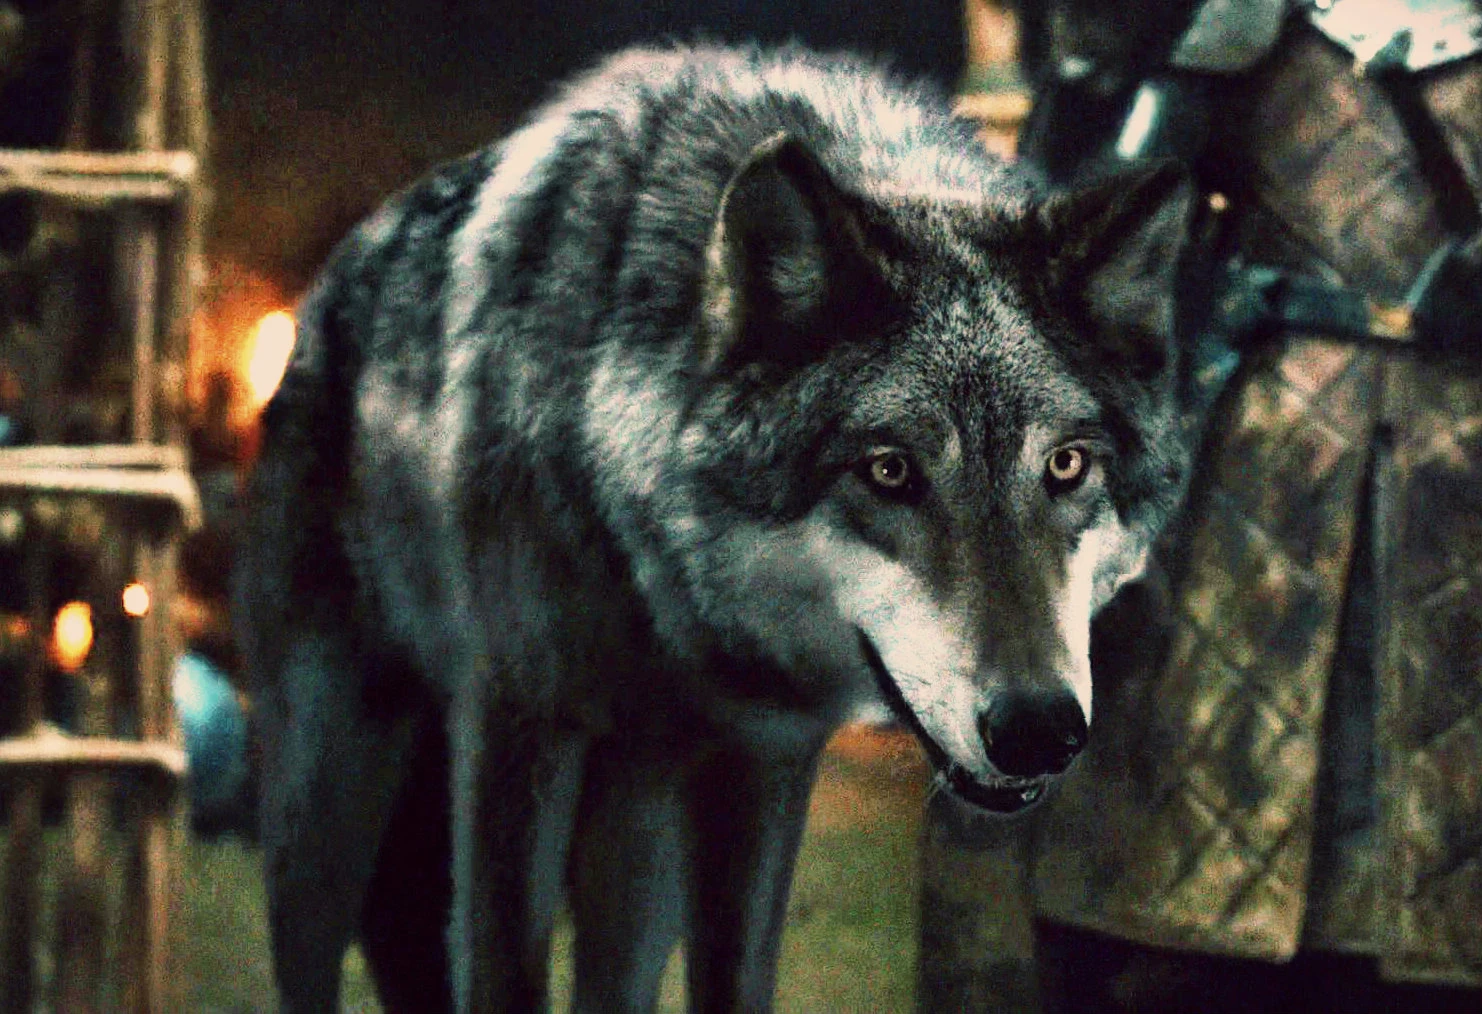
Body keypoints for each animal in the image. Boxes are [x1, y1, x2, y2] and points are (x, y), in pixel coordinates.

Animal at [232, 44, 1193, 1013]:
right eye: (889, 470)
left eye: (1064, 466)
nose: (1038, 728)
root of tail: (324, 293)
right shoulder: (514, 740)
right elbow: (502, 975)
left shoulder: (766, 765)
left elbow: (736, 978)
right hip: (322, 815)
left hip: (637, 853)